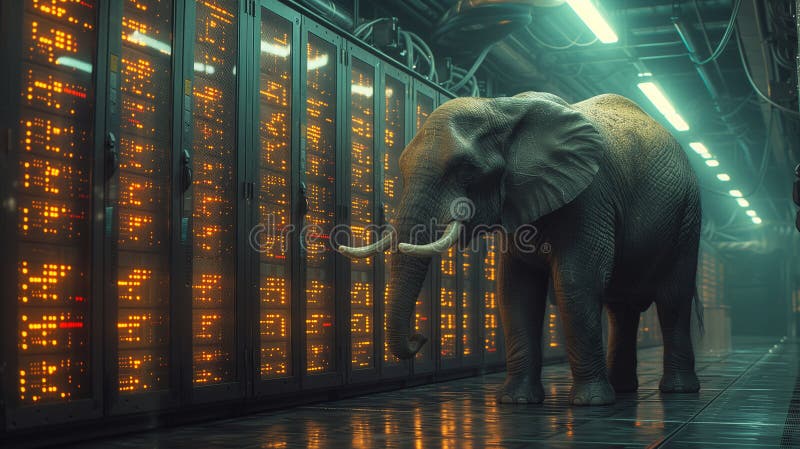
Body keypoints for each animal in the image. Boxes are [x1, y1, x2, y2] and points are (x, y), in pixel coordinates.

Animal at [339, 92, 701, 405]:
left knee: (673, 298)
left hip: (688, 217)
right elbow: (515, 288)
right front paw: (517, 402)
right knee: (621, 310)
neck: (502, 108)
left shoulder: (591, 195)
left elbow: (576, 281)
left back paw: (676, 391)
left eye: (466, 168)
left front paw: (591, 404)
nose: (420, 338)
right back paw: (624, 390)